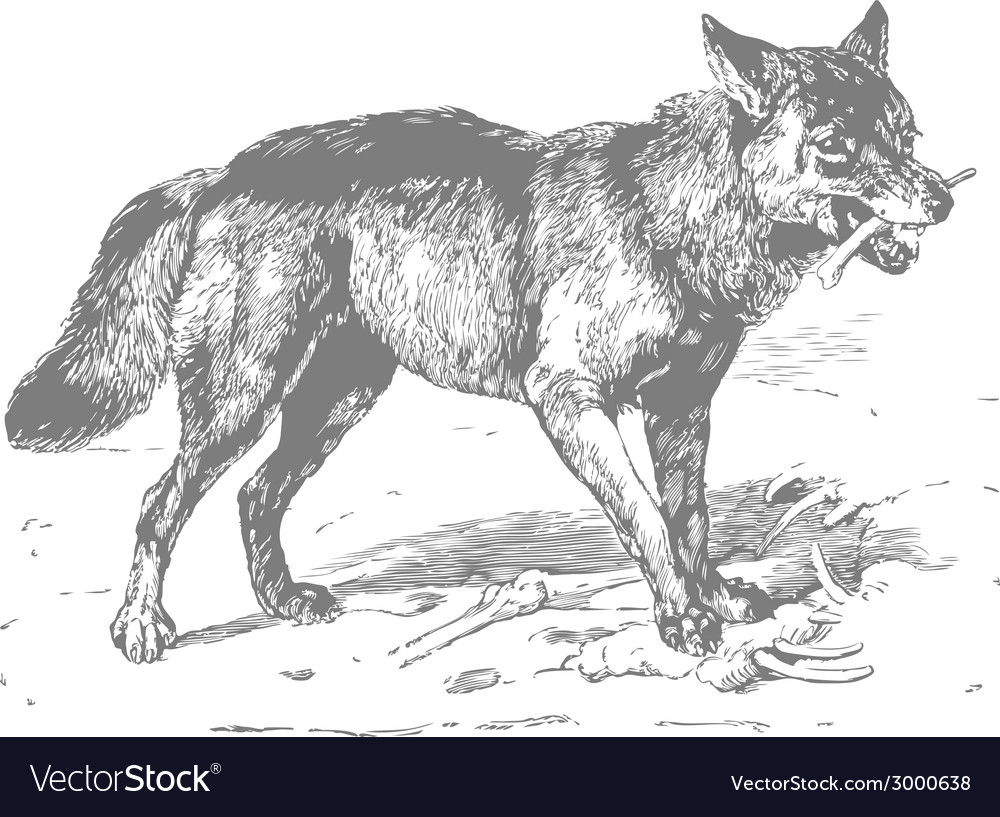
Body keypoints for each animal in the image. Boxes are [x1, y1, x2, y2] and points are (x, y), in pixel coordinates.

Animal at [7, 3, 956, 663]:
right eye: (835, 147)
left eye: (907, 135)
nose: (944, 199)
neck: (665, 215)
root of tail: (221, 172)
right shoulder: (571, 403)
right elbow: (647, 518)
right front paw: (684, 617)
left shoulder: (681, 412)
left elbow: (688, 519)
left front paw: (713, 597)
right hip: (241, 399)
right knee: (160, 503)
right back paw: (139, 625)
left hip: (333, 401)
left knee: (255, 495)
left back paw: (282, 602)